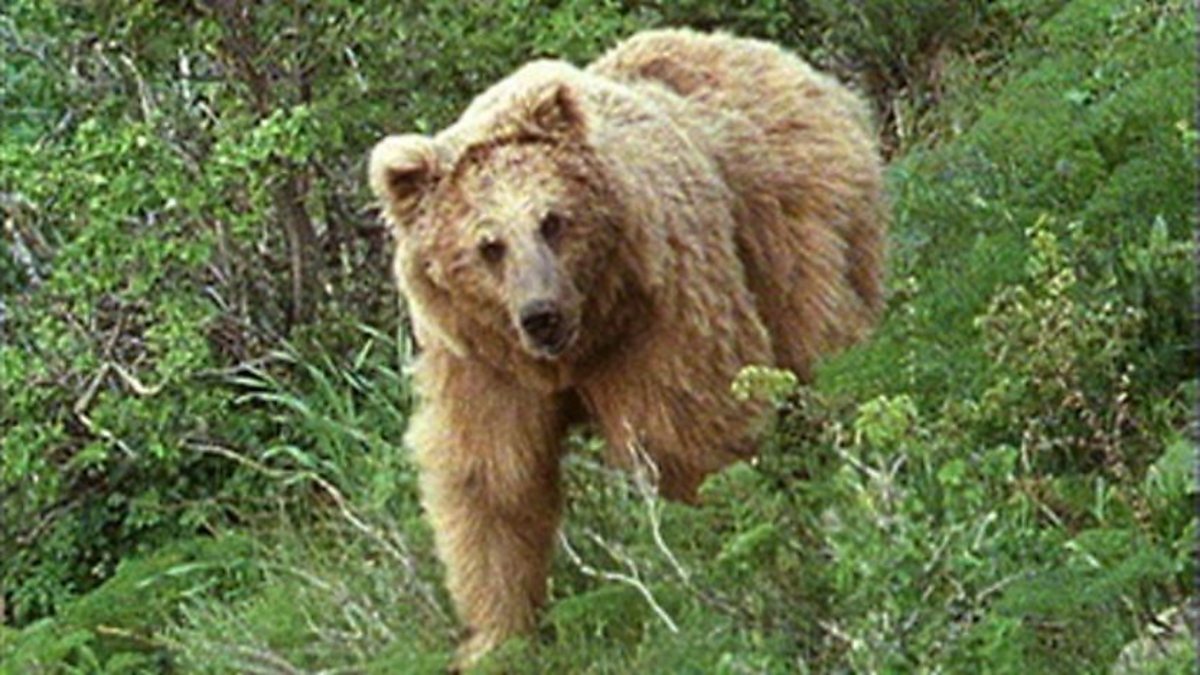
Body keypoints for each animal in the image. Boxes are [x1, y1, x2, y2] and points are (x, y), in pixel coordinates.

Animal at [368, 28, 886, 667]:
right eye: (489, 245)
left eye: (552, 220)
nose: (541, 315)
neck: (579, 346)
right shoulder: (483, 360)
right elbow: (492, 483)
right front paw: (496, 638)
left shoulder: (661, 317)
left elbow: (692, 433)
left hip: (795, 232)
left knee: (824, 346)